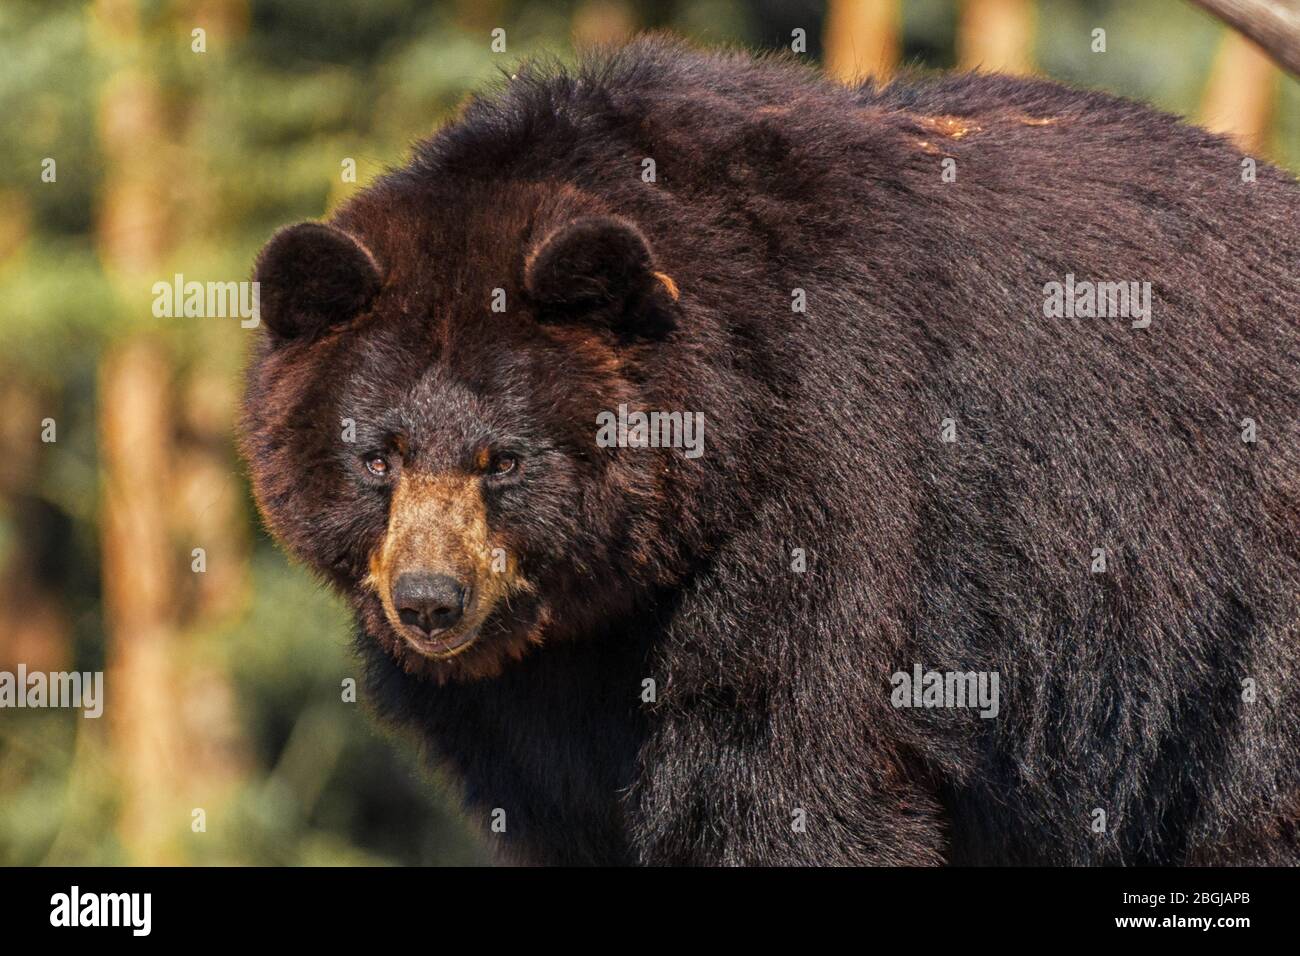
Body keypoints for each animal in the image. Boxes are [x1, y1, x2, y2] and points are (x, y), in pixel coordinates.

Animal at [241, 37, 1300, 866]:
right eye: (378, 457)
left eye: (504, 459)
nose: (429, 602)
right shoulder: (534, 699)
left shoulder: (831, 483)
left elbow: (790, 758)